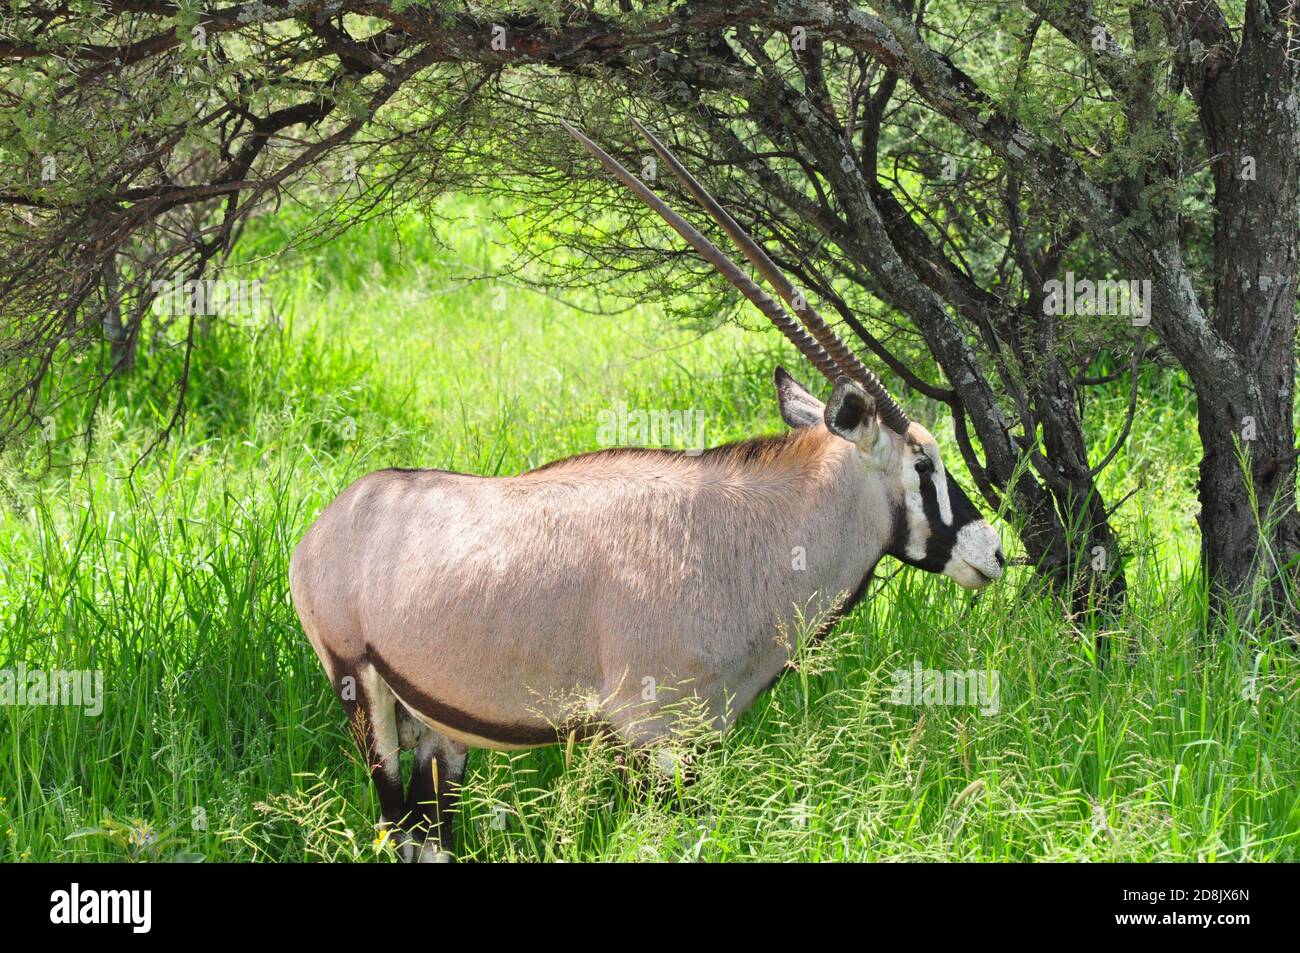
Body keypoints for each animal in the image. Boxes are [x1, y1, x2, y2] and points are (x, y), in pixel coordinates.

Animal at [289, 120, 1005, 861]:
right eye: (923, 463)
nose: (994, 551)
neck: (750, 535)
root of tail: (335, 517)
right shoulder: (651, 739)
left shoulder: (700, 739)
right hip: (364, 697)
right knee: (397, 823)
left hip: (438, 728)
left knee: (429, 836)